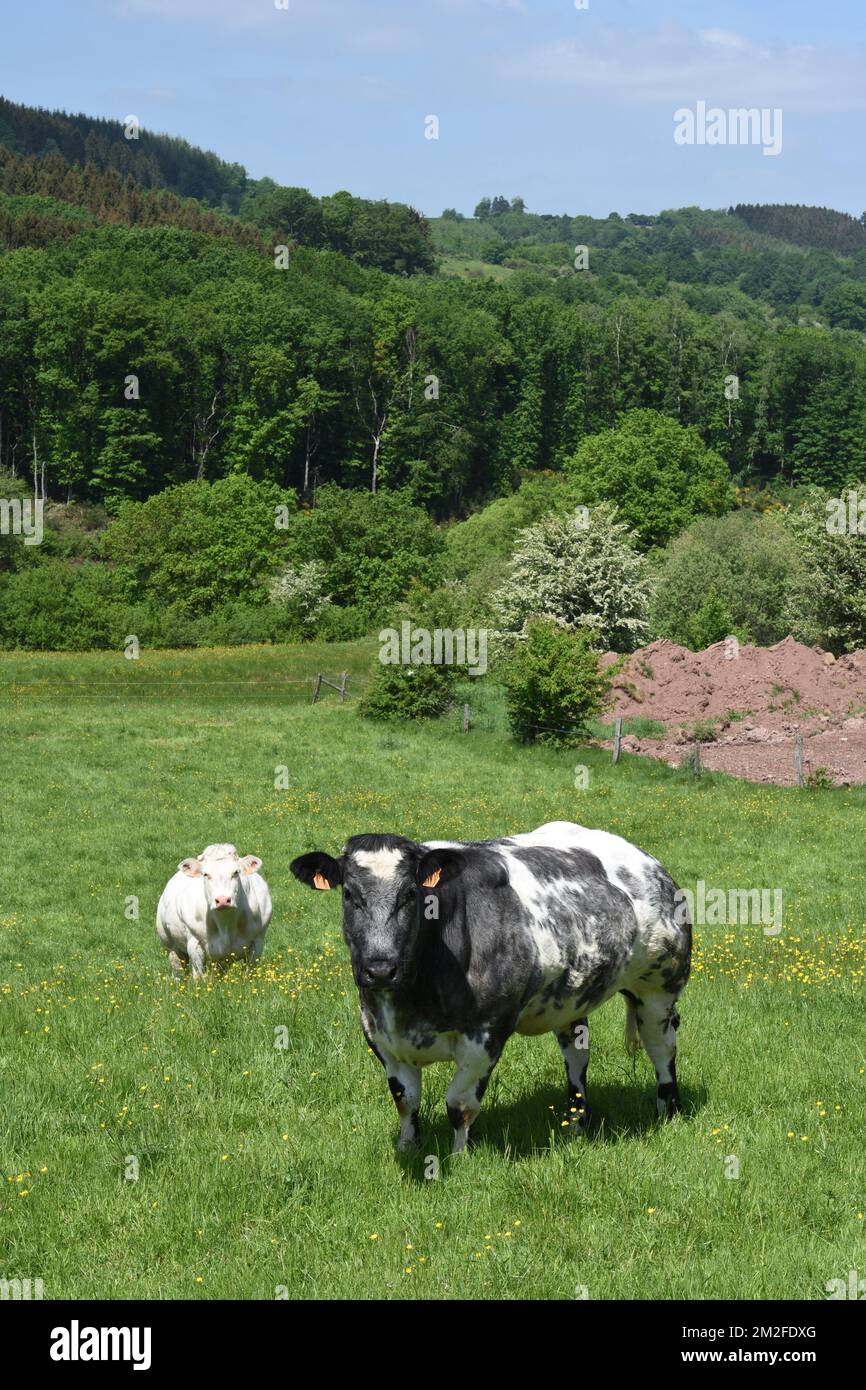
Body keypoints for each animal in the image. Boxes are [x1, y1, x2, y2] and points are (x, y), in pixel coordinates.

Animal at [156, 843, 273, 980]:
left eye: (236, 872)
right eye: (205, 874)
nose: (222, 900)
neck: (226, 924)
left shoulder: (257, 943)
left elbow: (248, 975)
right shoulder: (194, 945)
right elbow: (199, 977)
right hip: (171, 947)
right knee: (178, 973)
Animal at [290, 821, 690, 1154]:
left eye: (410, 894)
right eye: (349, 894)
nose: (380, 969)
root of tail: (650, 864)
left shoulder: (486, 1032)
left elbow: (459, 1103)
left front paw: (460, 1157)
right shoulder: (379, 1034)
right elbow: (406, 1100)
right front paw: (407, 1148)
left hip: (659, 987)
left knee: (662, 1049)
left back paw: (667, 1112)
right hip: (572, 997)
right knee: (577, 1056)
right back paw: (576, 1123)